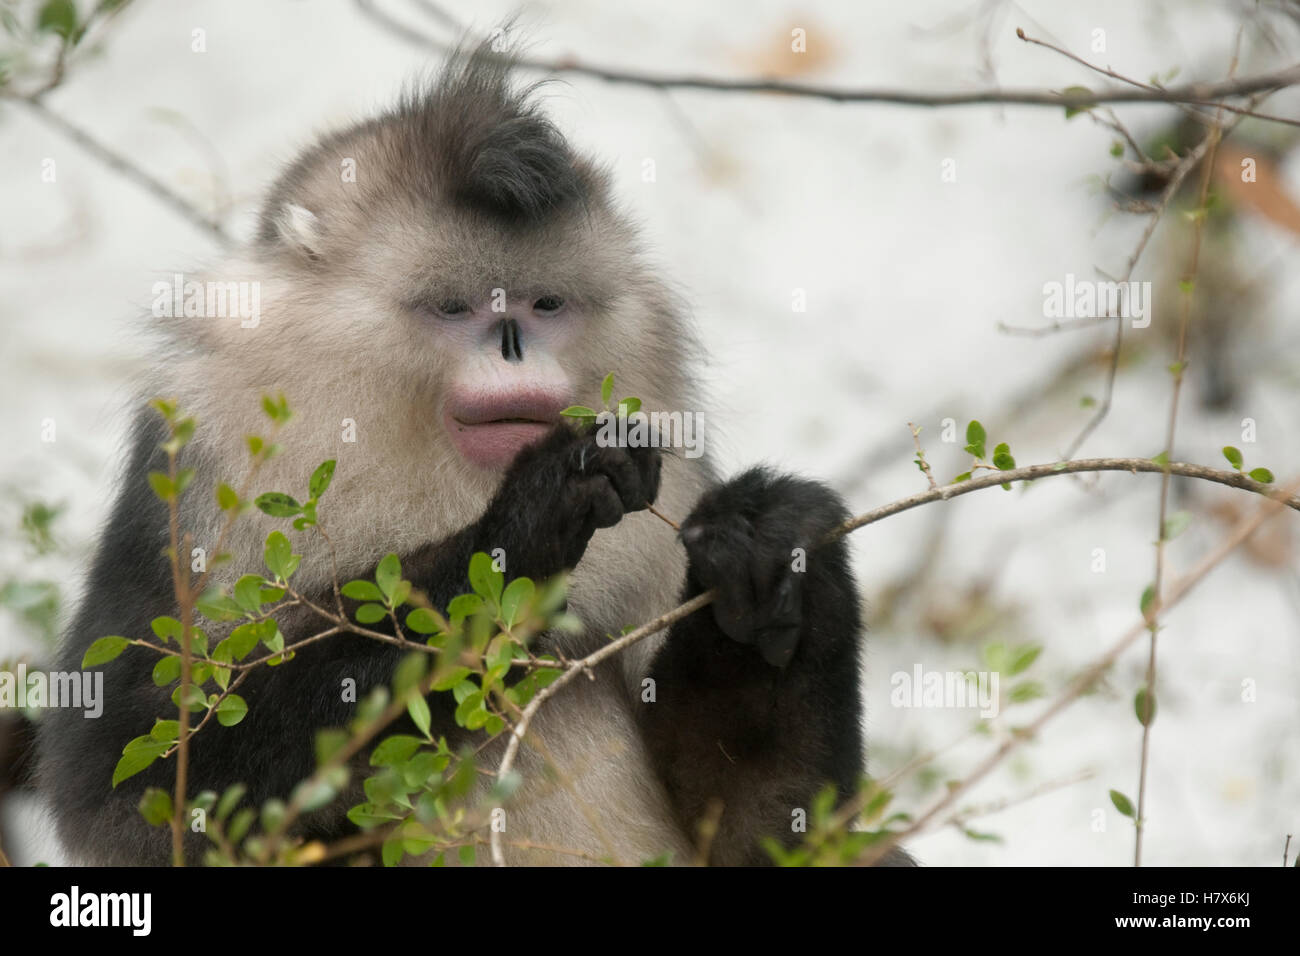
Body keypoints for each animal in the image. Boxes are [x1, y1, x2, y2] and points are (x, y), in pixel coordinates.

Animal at [38, 47, 914, 867]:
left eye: (543, 304)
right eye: (456, 308)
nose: (513, 345)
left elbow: (768, 829)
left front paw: (769, 565)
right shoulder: (196, 460)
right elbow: (126, 784)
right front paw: (530, 519)